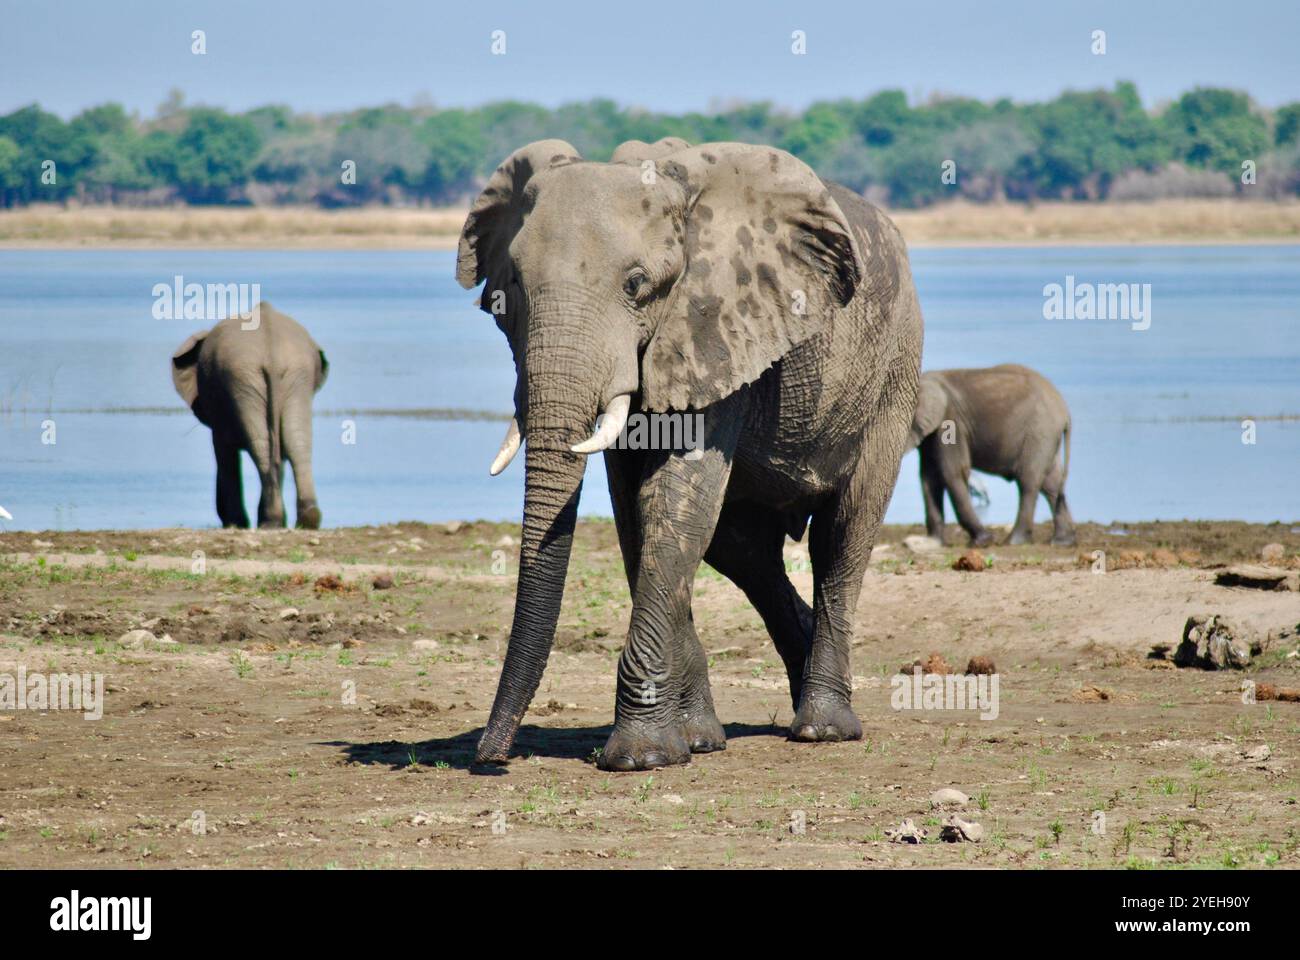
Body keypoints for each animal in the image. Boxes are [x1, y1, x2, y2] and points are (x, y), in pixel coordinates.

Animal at [171, 301, 328, 529]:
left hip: (241, 378)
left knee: (262, 444)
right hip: (294, 376)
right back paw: (305, 520)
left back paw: (270, 523)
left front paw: (234, 523)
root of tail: (271, 354)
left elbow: (223, 452)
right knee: (295, 440)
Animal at [457, 137, 923, 770]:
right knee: (744, 552)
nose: (490, 755)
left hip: (892, 375)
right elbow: (638, 513)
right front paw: (694, 743)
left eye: (635, 285)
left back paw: (822, 728)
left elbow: (677, 502)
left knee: (843, 535)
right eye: (514, 286)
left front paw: (639, 758)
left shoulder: (714, 328)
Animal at [907, 364, 1074, 547]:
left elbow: (952, 472)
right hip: (1046, 437)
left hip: (1039, 431)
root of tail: (1065, 412)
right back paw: (1062, 542)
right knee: (1052, 483)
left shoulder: (951, 421)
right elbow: (928, 477)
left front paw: (982, 541)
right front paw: (933, 542)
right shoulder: (929, 434)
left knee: (1028, 481)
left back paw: (1014, 541)